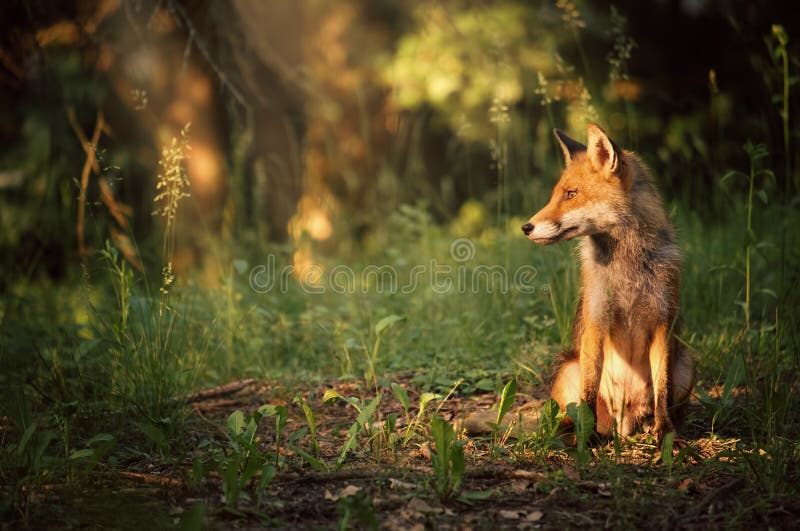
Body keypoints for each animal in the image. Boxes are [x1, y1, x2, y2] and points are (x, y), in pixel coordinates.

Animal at [521, 123, 695, 441]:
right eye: (556, 195)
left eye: (571, 194)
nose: (526, 227)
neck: (627, 270)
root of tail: (623, 422)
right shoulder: (596, 320)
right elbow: (589, 392)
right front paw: (584, 442)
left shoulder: (663, 322)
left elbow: (662, 389)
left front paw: (665, 434)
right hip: (567, 370)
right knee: (568, 416)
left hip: (687, 362)